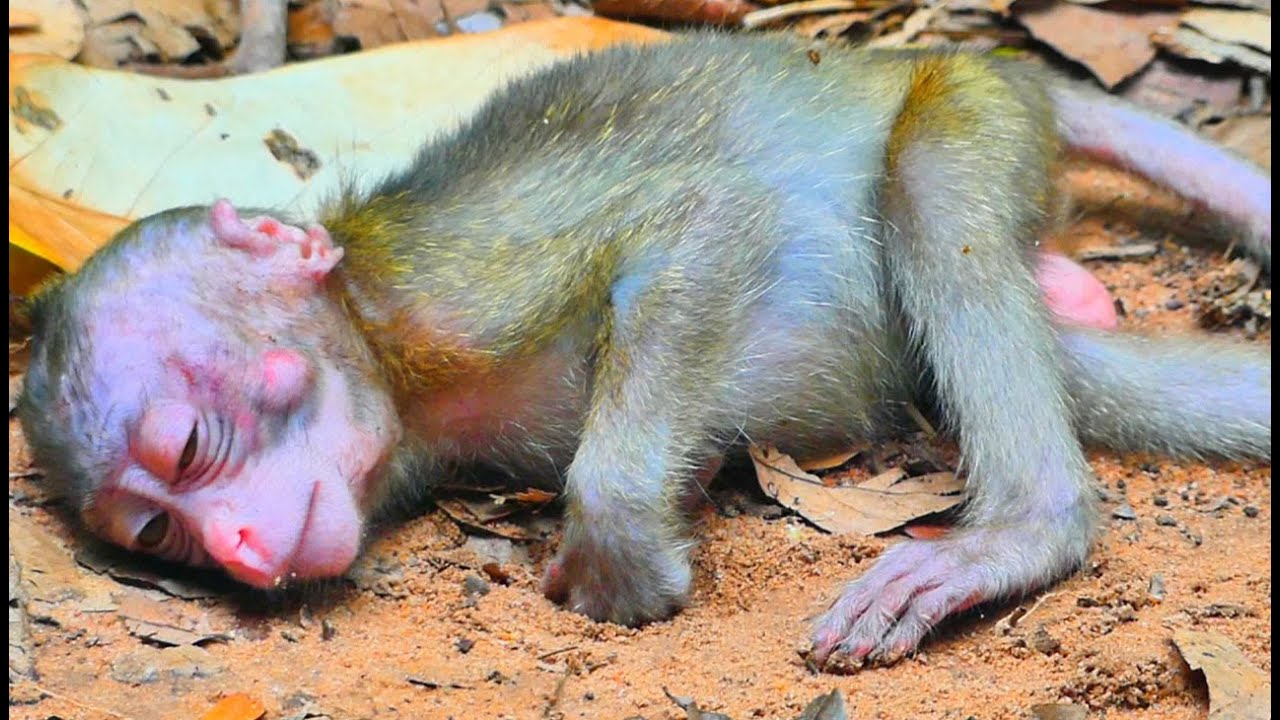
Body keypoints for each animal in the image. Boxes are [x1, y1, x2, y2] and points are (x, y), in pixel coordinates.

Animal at [16, 34, 1270, 672]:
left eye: (189, 446)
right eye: (159, 535)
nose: (233, 544)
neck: (386, 362)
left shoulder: (455, 287)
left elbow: (707, 220)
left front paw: (616, 551)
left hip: (964, 105)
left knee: (929, 186)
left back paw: (1018, 527)